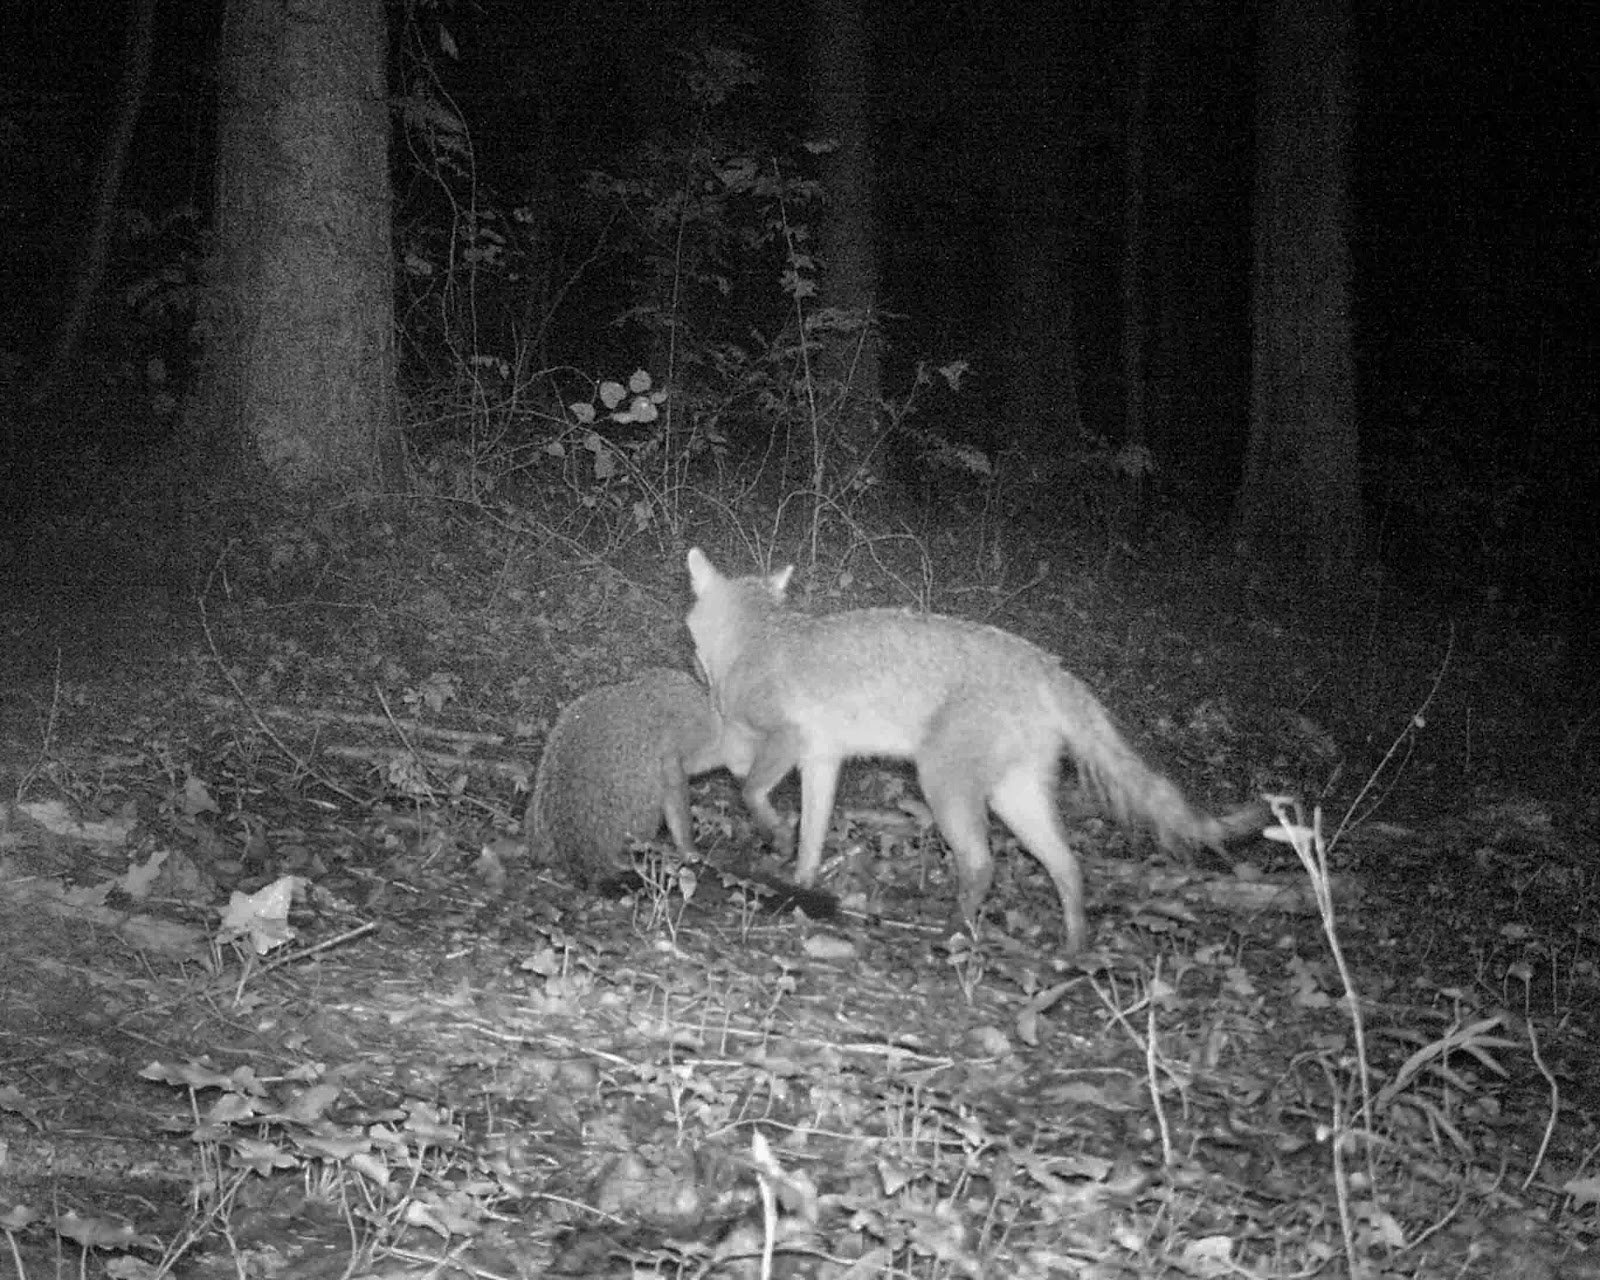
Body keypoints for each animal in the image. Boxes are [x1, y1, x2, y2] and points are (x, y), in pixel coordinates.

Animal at [684, 548, 1263, 954]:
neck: (757, 637)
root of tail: (1046, 663)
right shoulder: (822, 760)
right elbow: (812, 836)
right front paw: (801, 885)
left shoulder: (790, 739)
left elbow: (751, 791)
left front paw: (774, 839)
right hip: (1014, 798)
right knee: (1069, 867)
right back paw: (1072, 952)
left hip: (944, 787)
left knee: (983, 865)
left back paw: (952, 934)